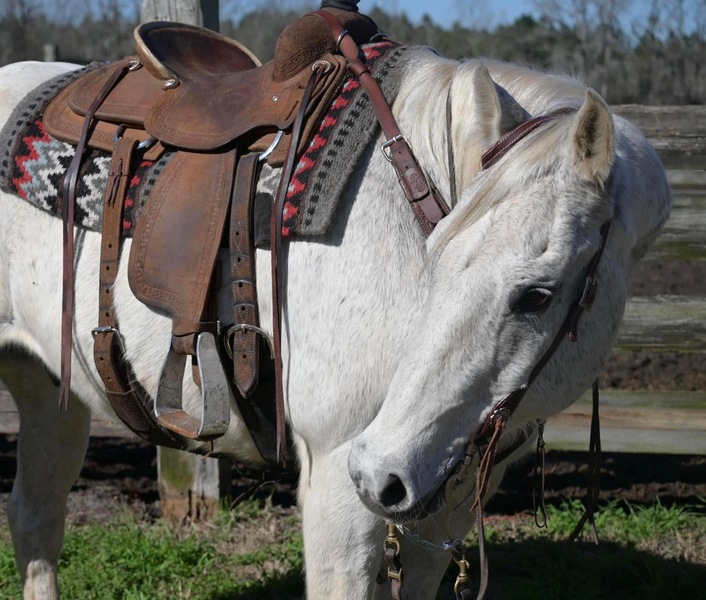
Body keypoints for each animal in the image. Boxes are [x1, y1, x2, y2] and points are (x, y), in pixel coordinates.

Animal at [0, 47, 671, 599]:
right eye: (437, 256)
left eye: (538, 295)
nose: (379, 472)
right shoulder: (339, 486)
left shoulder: (442, 506)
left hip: (49, 395)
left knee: (34, 519)